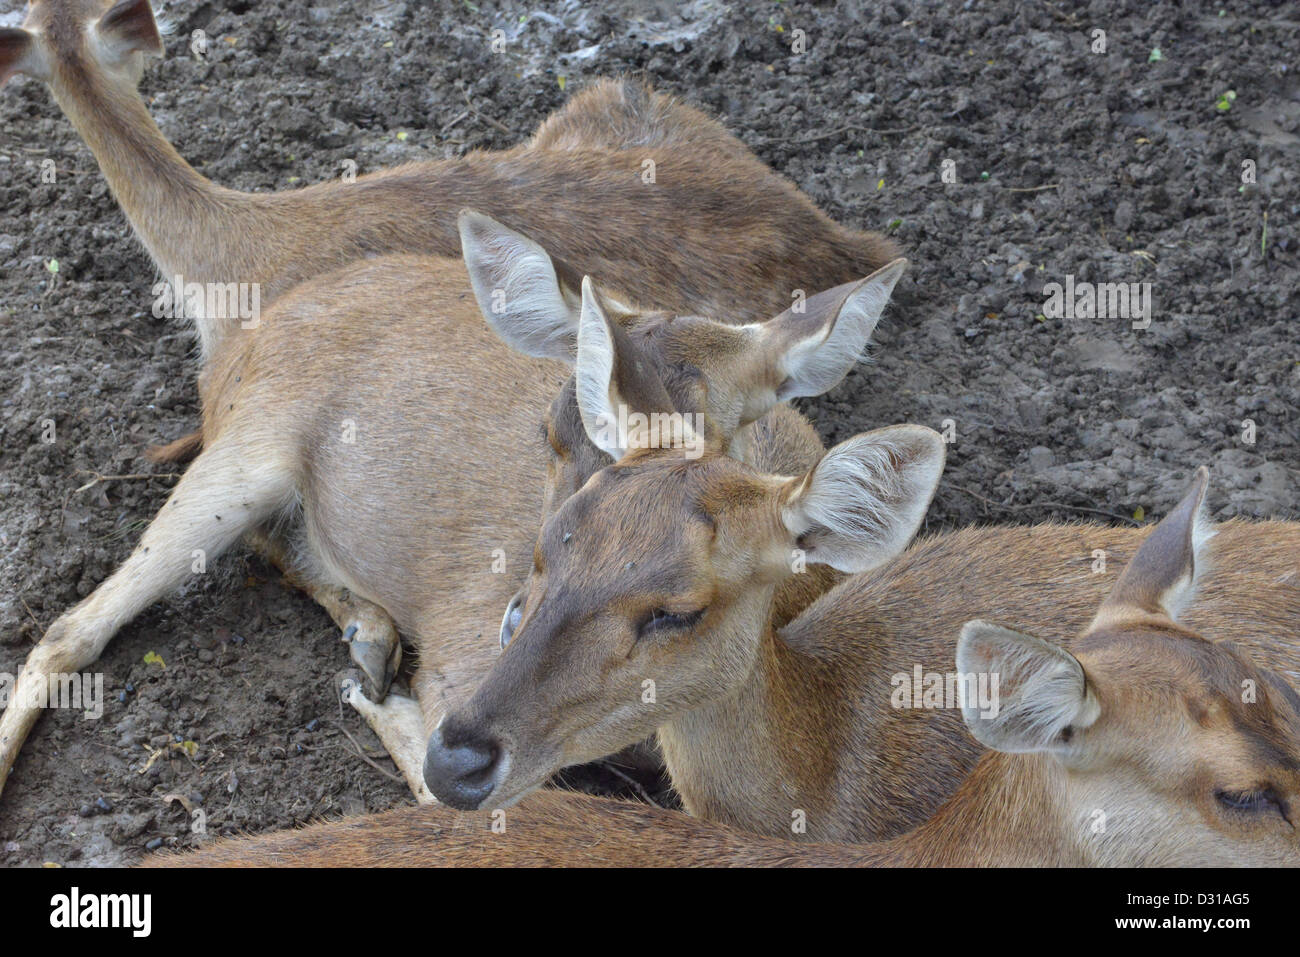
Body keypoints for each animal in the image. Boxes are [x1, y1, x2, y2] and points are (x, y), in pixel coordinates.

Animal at [0, 205, 910, 802]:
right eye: (553, 428)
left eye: (710, 442)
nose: (513, 618)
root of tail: (235, 349)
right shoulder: (458, 675)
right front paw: (376, 695)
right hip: (252, 442)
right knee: (72, 625)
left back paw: (367, 632)